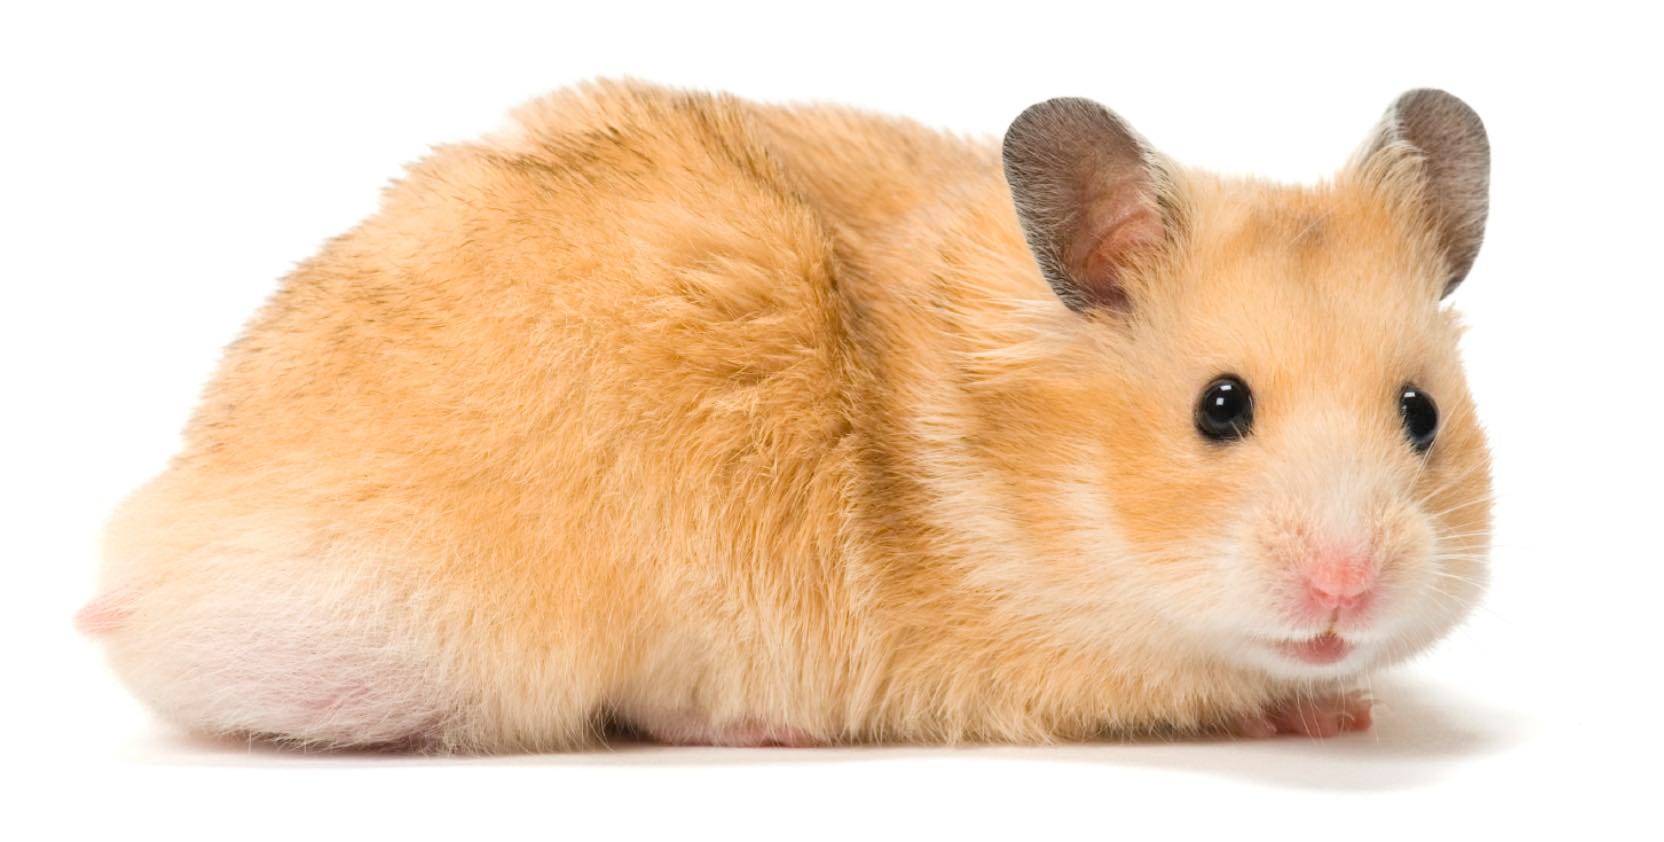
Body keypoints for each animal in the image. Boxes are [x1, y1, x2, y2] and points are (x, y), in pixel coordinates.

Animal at [78, 80, 1492, 751]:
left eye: (1420, 413)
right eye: (1218, 407)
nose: (1348, 588)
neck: (1038, 477)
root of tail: (153, 574)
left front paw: (1344, 707)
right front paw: (1313, 710)